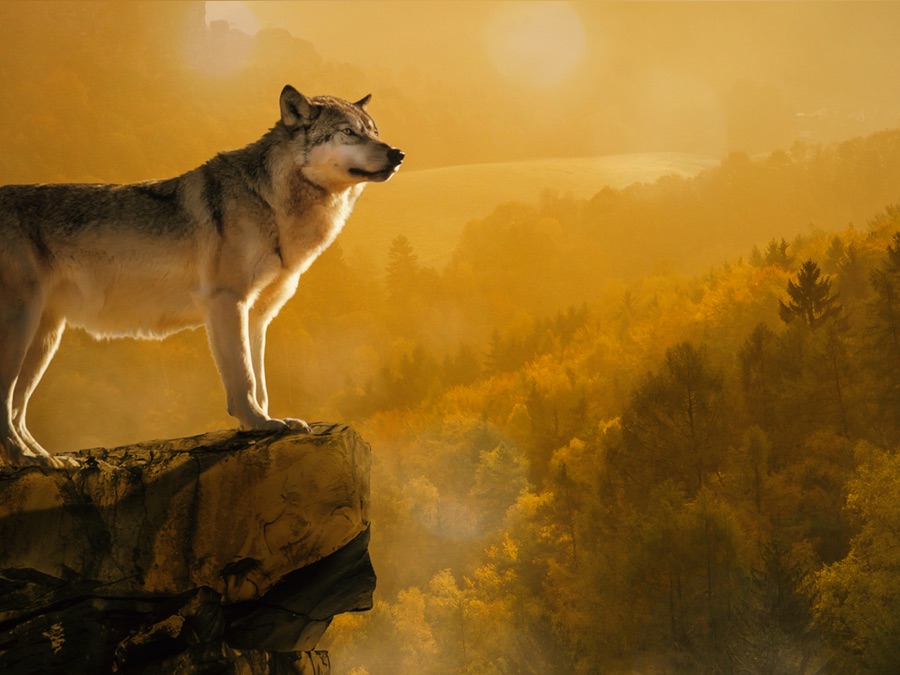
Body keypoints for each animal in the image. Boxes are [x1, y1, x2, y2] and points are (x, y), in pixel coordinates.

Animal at [0, 85, 403, 467]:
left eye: (374, 131)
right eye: (349, 132)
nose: (398, 154)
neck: (270, 202)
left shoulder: (258, 317)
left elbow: (261, 382)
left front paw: (270, 421)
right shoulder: (226, 302)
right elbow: (244, 378)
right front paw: (258, 424)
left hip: (44, 340)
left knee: (17, 410)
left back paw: (46, 460)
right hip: (22, 329)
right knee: (5, 406)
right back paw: (26, 458)